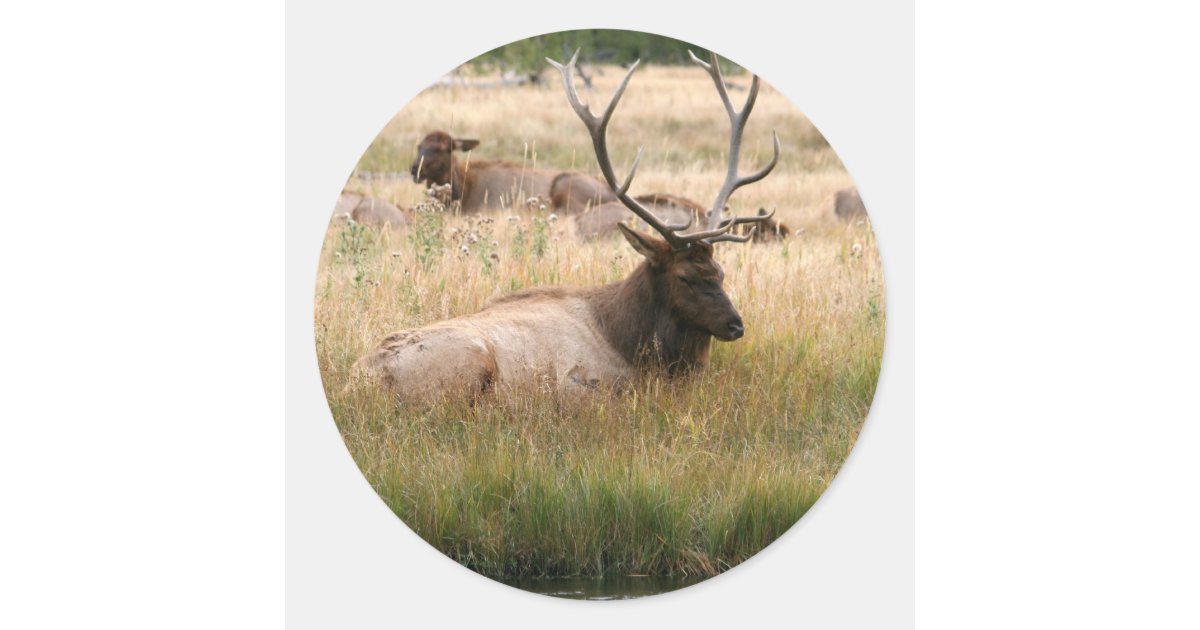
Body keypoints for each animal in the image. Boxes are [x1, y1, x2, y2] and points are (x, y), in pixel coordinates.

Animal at [355, 50, 780, 403]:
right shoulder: (586, 381)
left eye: (721, 273)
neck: (628, 339)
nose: (735, 325)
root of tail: (362, 379)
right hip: (471, 358)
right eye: (685, 277)